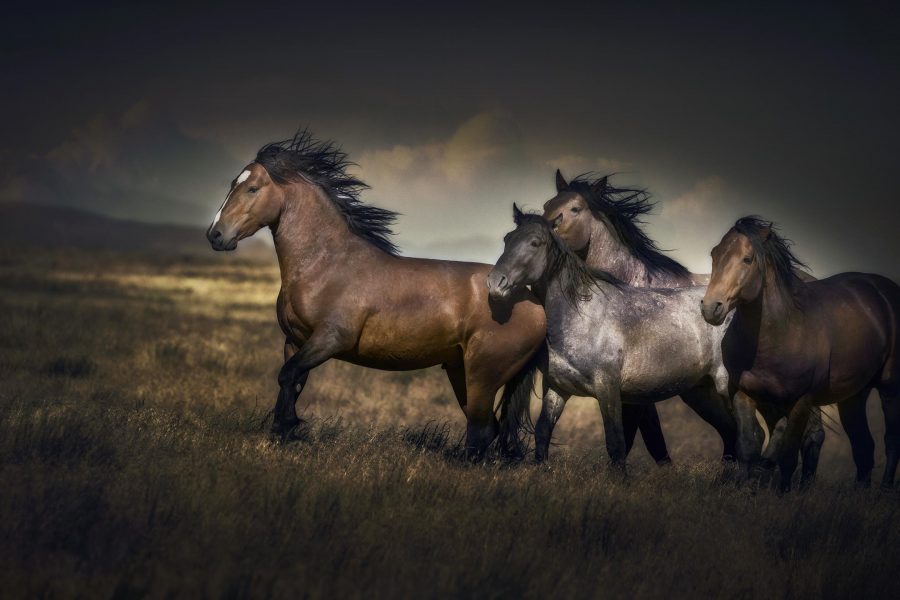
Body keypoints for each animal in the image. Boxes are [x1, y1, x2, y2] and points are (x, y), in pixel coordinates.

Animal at [205, 130, 546, 460]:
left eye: (253, 189)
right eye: (233, 184)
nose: (215, 235)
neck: (325, 264)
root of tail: (535, 305)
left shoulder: (330, 339)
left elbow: (288, 376)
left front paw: (290, 429)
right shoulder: (295, 341)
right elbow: (292, 381)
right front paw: (282, 433)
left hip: (482, 374)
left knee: (481, 428)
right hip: (460, 370)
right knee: (490, 428)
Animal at [487, 206, 750, 473]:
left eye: (535, 242)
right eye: (508, 239)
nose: (495, 282)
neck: (581, 316)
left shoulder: (608, 387)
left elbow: (616, 440)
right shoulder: (556, 388)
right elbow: (543, 432)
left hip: (725, 388)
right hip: (699, 391)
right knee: (730, 433)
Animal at [543, 171, 824, 477]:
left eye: (574, 209)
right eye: (548, 204)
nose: (545, 230)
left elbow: (634, 434)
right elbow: (652, 436)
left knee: (809, 434)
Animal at [702, 217, 900, 491]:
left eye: (747, 259)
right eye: (715, 254)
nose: (711, 308)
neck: (780, 334)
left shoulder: (801, 402)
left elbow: (787, 454)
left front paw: (782, 494)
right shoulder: (743, 393)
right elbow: (748, 447)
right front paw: (741, 489)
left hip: (890, 387)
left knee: (890, 440)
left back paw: (884, 490)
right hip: (853, 396)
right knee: (863, 446)